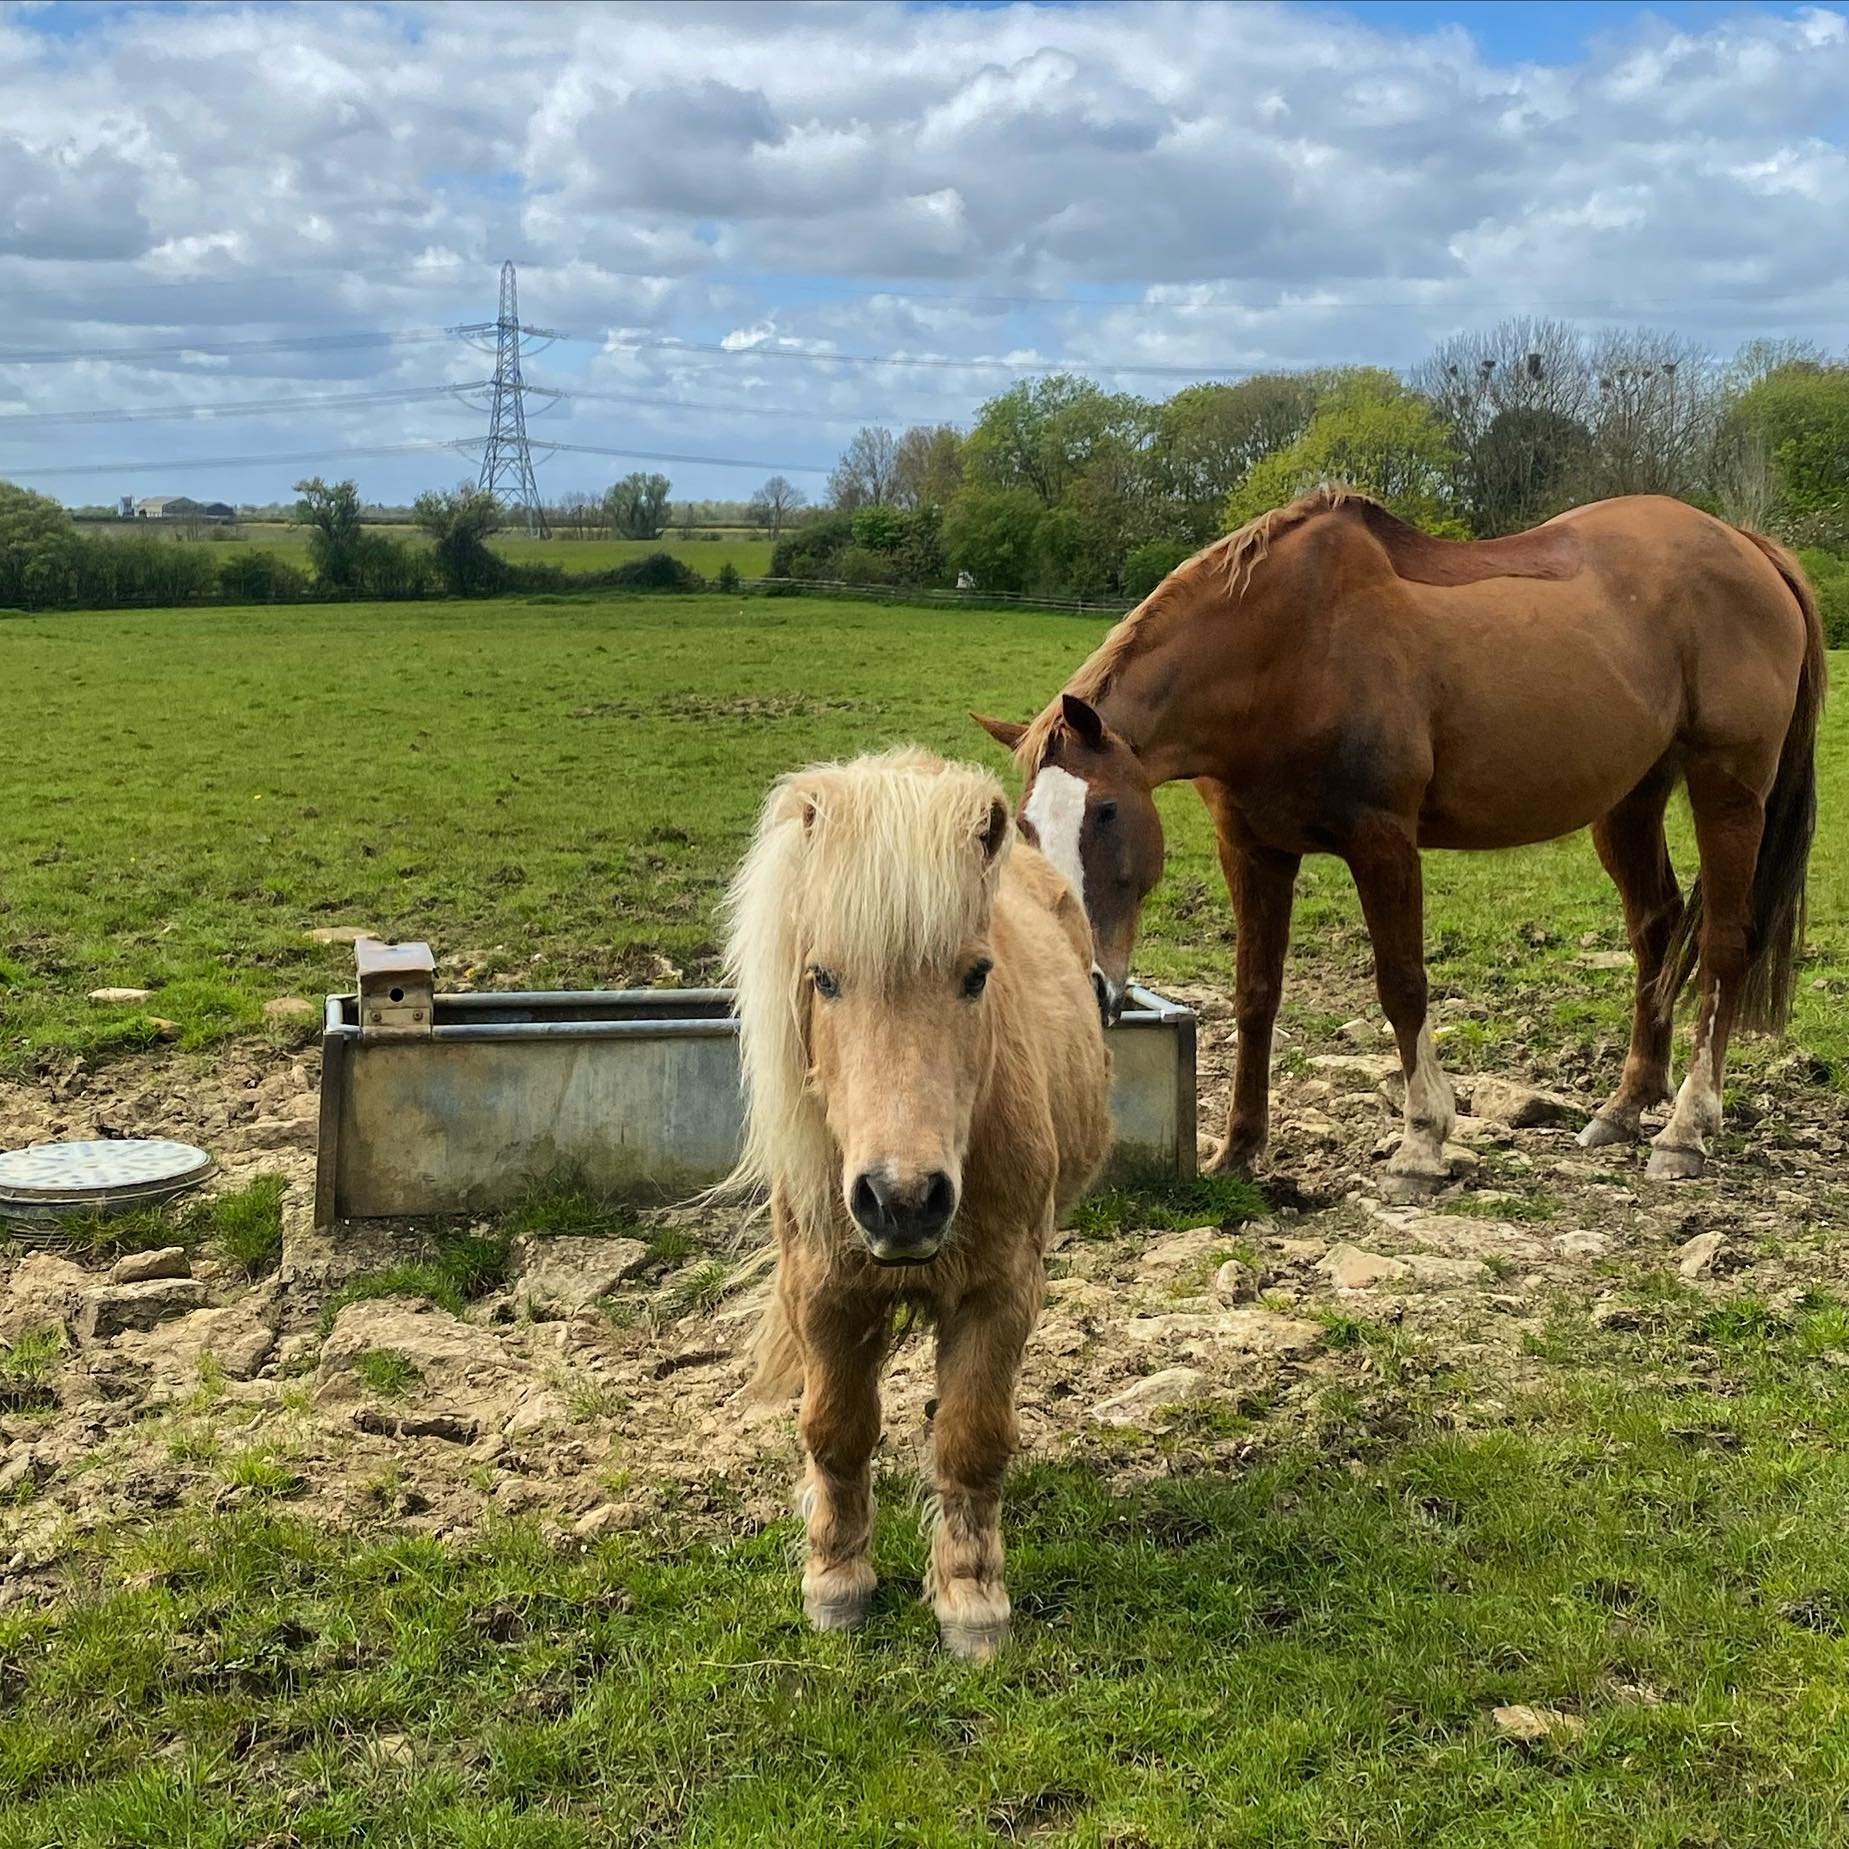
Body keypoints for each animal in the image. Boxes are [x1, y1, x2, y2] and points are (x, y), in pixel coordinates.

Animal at [721, 750, 1102, 1664]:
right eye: (823, 977)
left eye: (975, 974)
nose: (901, 1200)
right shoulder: (823, 1290)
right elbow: (834, 1428)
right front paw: (835, 1581)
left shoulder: (1001, 1291)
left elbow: (970, 1437)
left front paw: (970, 1599)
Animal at [976, 484, 1826, 1190]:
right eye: (1026, 826)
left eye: (1105, 812)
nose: (1091, 987)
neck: (1287, 648)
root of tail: (1748, 546)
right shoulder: (1252, 848)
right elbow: (1255, 992)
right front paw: (1240, 1148)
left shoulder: (1381, 839)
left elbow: (1402, 983)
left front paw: (1421, 1143)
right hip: (1629, 799)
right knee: (1655, 930)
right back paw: (1622, 1109)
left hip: (1727, 793)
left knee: (1721, 946)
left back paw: (1684, 1130)